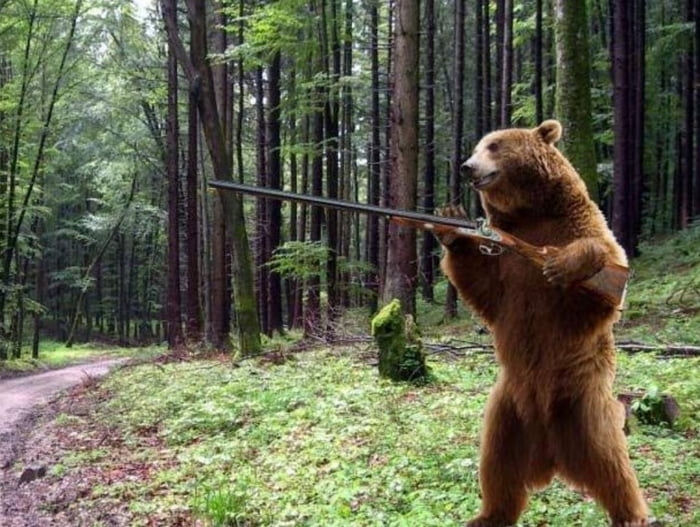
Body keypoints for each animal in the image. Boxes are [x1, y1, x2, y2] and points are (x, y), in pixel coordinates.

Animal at [439, 120, 649, 527]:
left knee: (612, 461)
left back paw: (632, 513)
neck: (529, 215)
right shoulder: (505, 267)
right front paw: (451, 229)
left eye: (494, 145)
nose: (467, 166)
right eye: (478, 146)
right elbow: (483, 287)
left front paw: (562, 265)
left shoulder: (579, 226)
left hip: (584, 400)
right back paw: (488, 515)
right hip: (506, 411)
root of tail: (551, 454)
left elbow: (606, 262)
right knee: (496, 465)